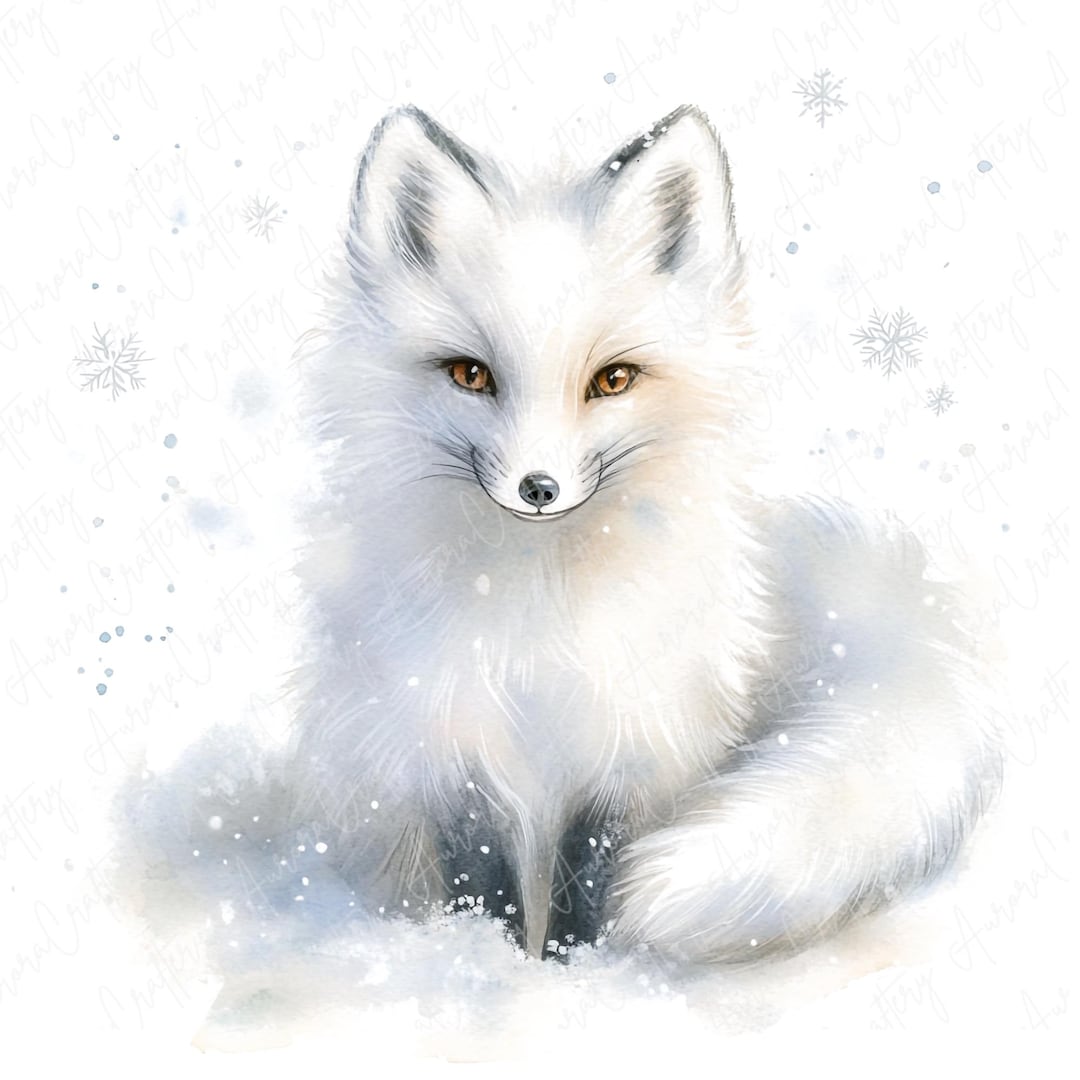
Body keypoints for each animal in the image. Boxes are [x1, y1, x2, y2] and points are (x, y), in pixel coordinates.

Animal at [284, 103, 1003, 965]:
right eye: (470, 374)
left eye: (614, 380)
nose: (538, 489)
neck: (539, 624)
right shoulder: (448, 745)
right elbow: (483, 886)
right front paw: (496, 964)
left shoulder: (629, 744)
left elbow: (586, 885)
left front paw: (576, 970)